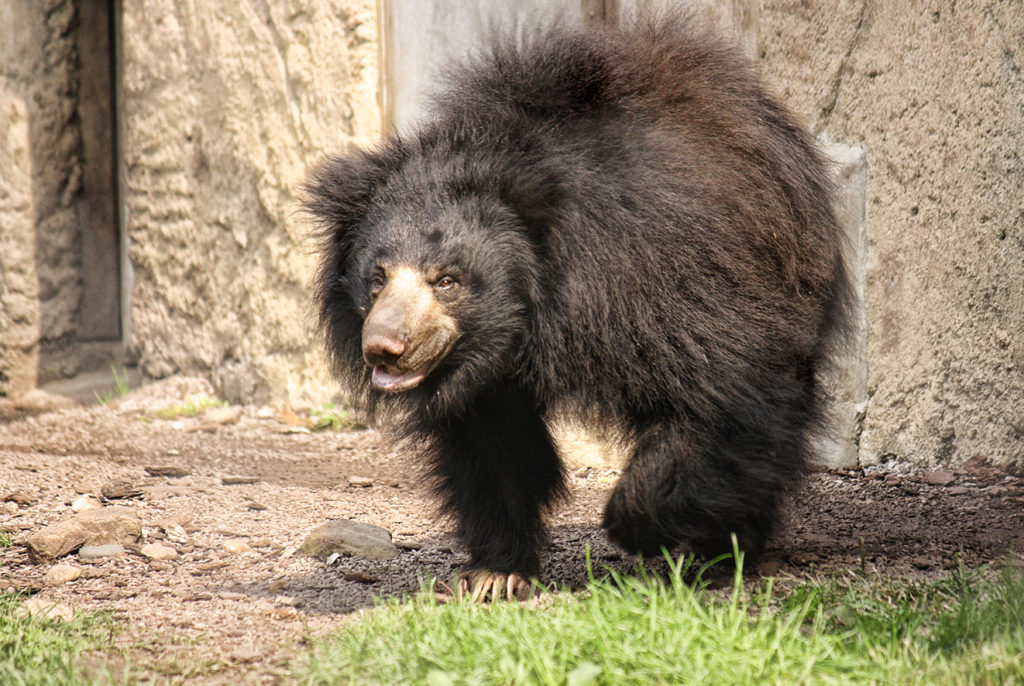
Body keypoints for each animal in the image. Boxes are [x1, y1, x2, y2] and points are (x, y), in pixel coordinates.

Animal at [304, 14, 851, 601]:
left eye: (447, 281)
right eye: (376, 278)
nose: (384, 349)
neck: (534, 319)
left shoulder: (677, 285)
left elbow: (723, 396)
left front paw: (647, 531)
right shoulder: (488, 379)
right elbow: (495, 448)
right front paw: (494, 574)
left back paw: (729, 552)